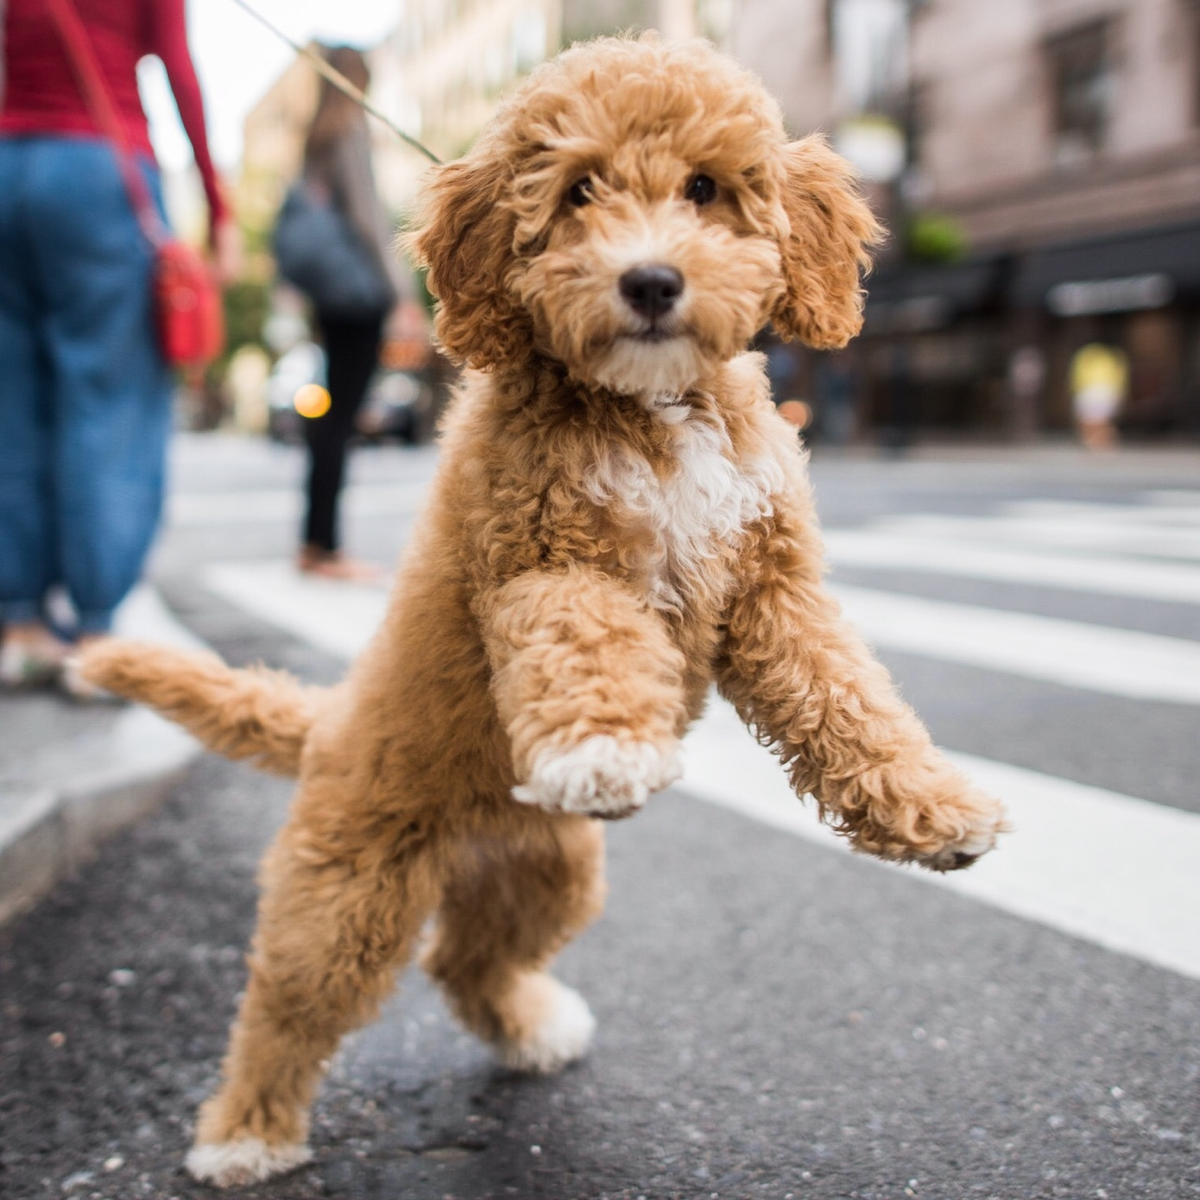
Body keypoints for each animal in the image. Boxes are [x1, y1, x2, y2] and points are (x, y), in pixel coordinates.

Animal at [79, 37, 1008, 1190]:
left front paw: (935, 809)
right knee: (292, 1002)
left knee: (469, 961)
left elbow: (849, 696)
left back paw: (531, 1027)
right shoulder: (543, 559)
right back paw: (245, 1132)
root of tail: (329, 722)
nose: (650, 281)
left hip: (551, 877)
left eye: (706, 189)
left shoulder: (771, 590)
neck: (655, 406)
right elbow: (587, 642)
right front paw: (605, 749)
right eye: (578, 193)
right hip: (347, 884)